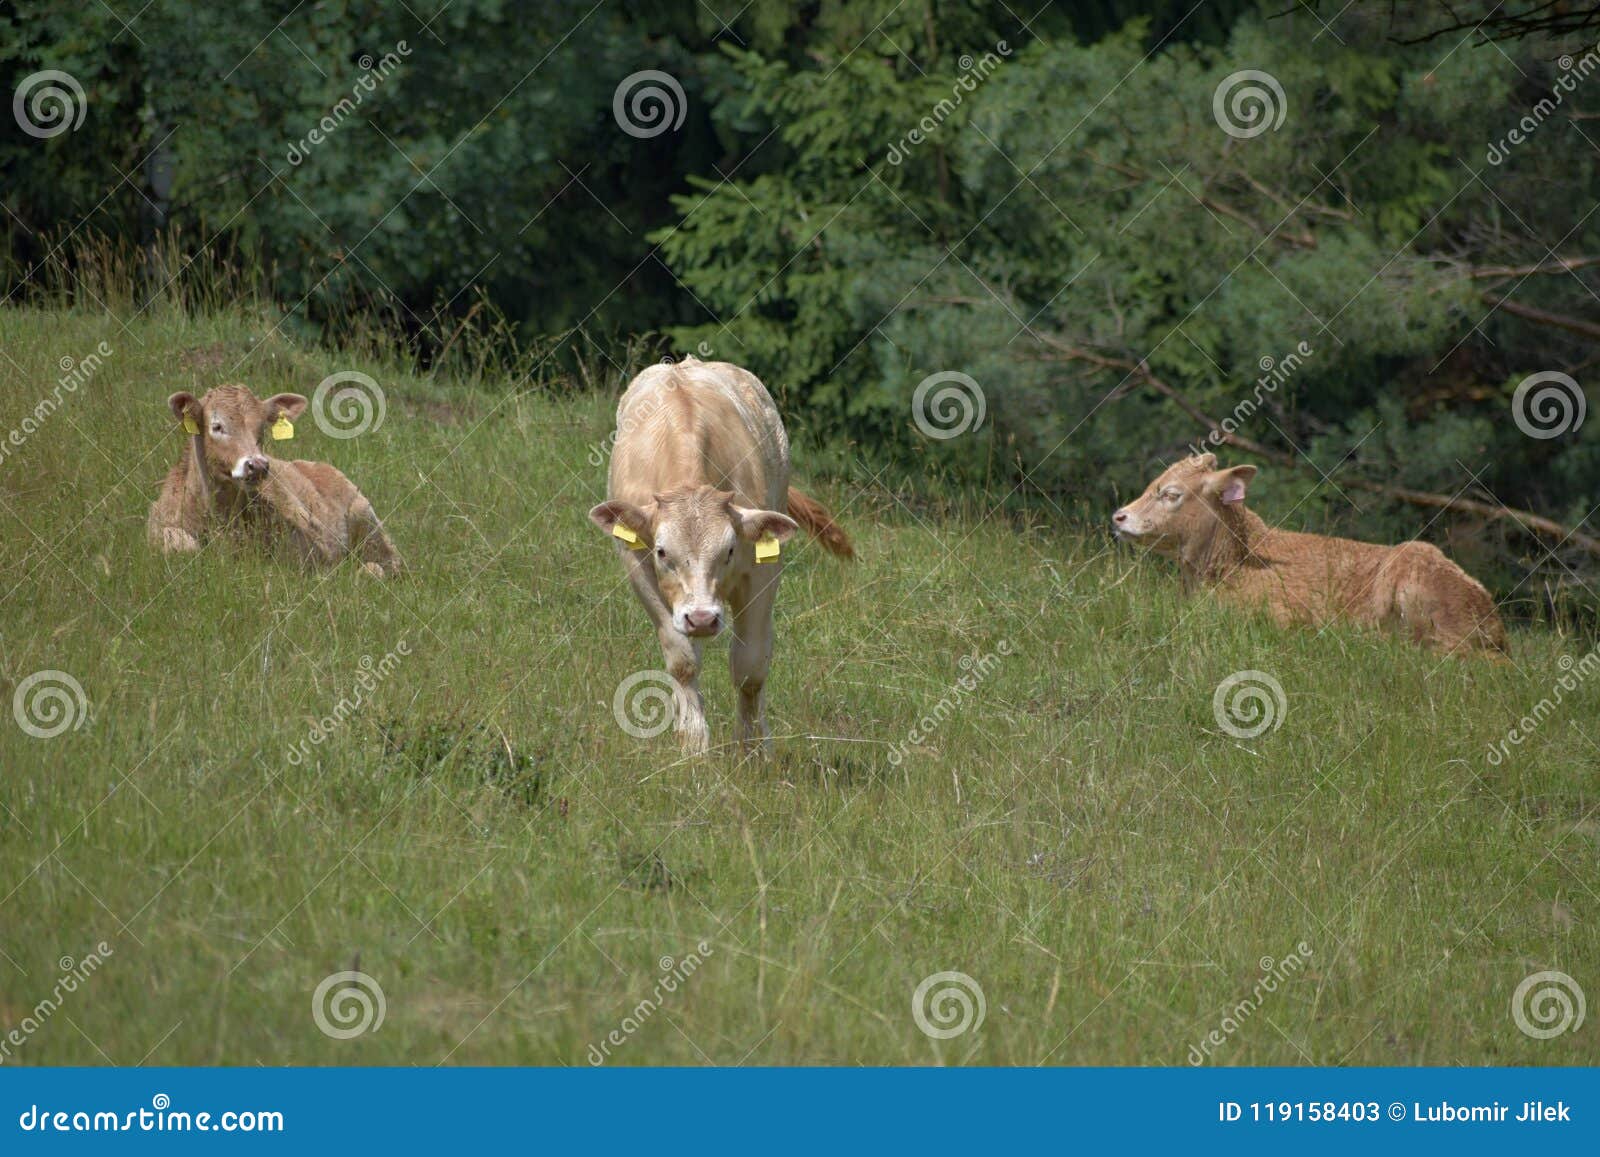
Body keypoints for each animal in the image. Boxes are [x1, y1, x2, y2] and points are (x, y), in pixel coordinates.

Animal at [589, 356, 853, 755]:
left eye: (729, 549)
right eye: (662, 551)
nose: (701, 618)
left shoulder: (761, 573)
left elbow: (750, 666)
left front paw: (753, 750)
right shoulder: (637, 566)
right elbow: (682, 660)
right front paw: (693, 744)